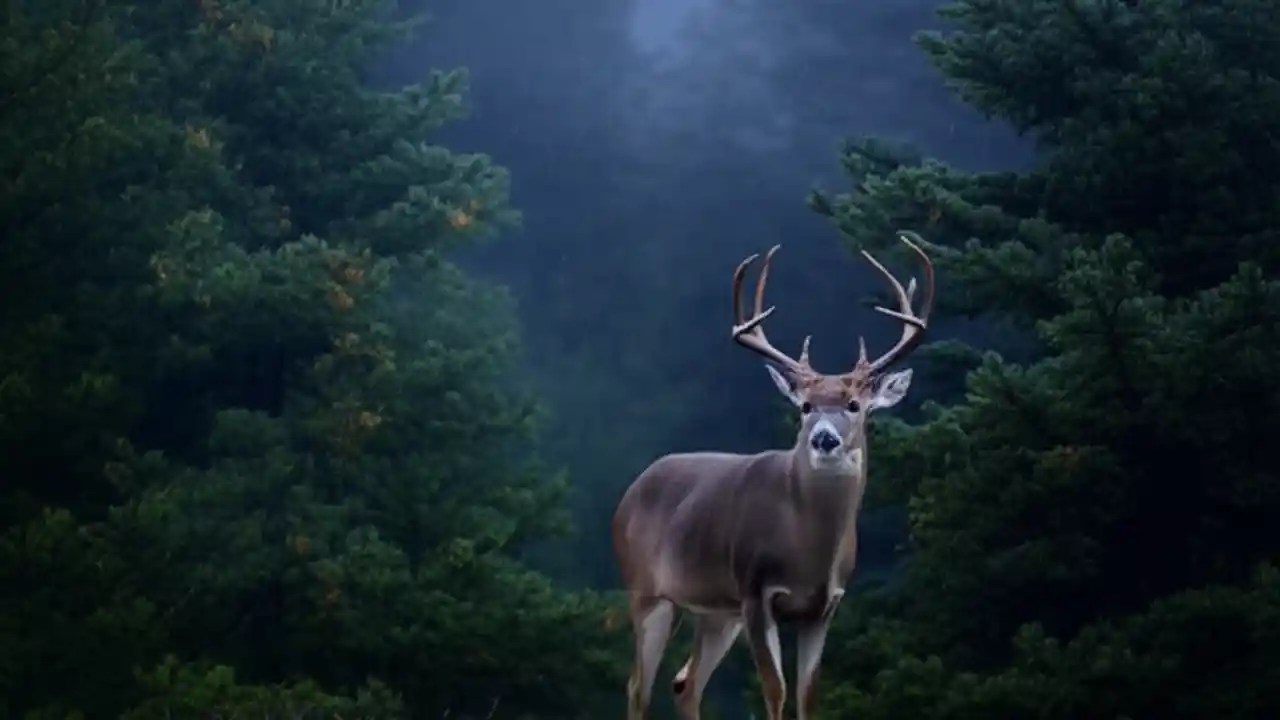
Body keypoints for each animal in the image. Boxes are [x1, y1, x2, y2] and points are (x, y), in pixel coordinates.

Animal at [611, 230, 935, 720]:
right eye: (804, 406)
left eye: (854, 405)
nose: (824, 439)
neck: (806, 550)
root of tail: (629, 493)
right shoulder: (755, 591)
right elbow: (776, 691)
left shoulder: (825, 605)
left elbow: (807, 695)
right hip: (648, 591)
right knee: (636, 687)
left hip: (716, 610)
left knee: (686, 684)